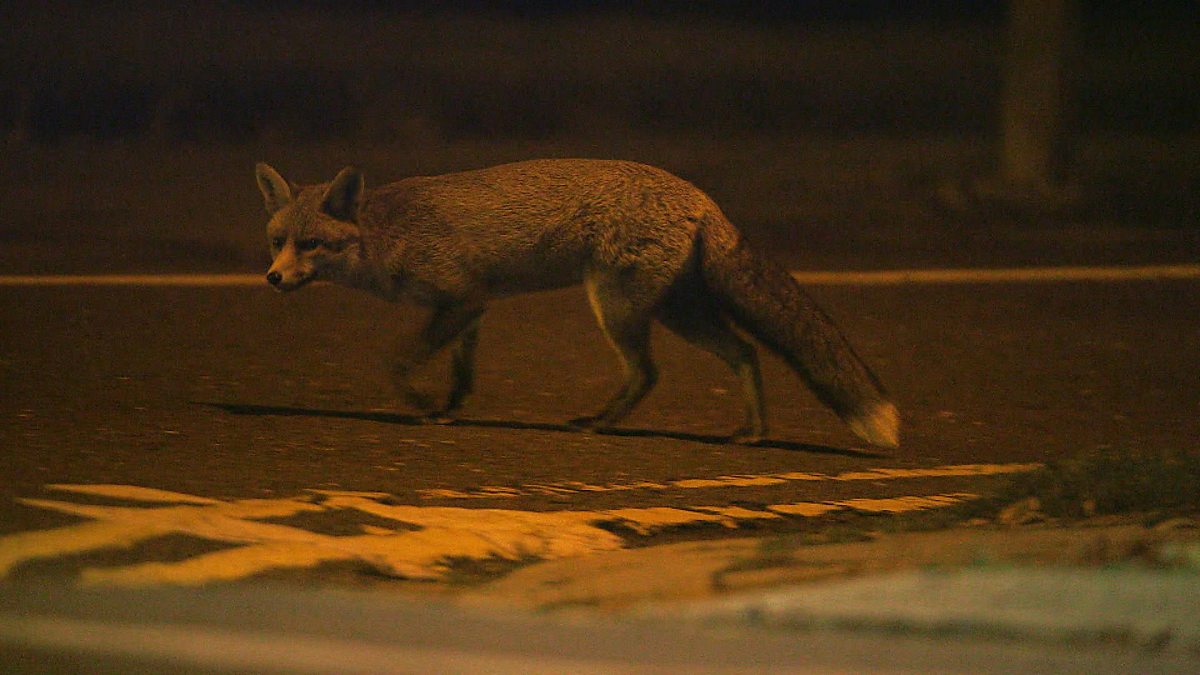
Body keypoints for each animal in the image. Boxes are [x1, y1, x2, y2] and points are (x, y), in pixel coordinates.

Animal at [255, 159, 899, 448]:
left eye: (310, 244)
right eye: (276, 240)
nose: (272, 278)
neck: (387, 234)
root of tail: (700, 195)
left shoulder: (459, 300)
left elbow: (397, 362)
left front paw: (419, 407)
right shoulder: (473, 306)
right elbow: (461, 372)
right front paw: (450, 407)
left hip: (616, 307)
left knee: (647, 372)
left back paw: (602, 423)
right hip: (677, 313)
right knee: (744, 353)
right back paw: (753, 432)